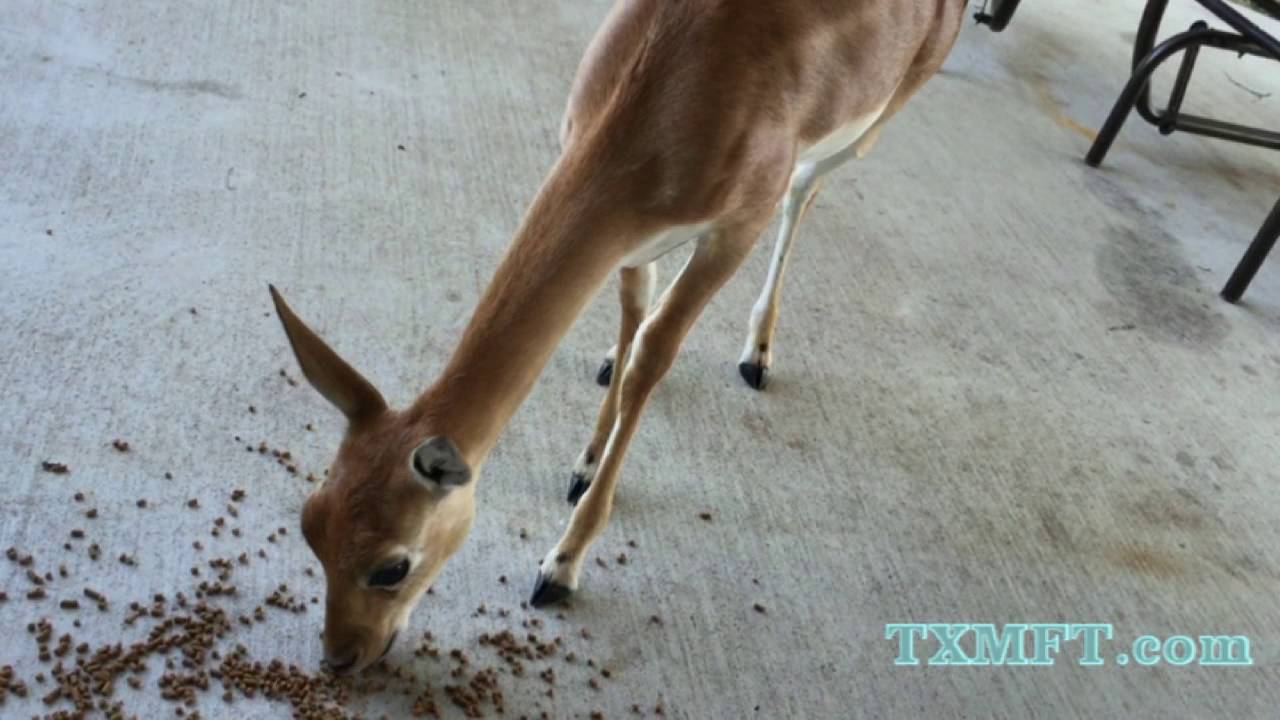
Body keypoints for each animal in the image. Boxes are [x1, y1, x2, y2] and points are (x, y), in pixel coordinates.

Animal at [270, 0, 967, 673]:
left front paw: (560, 564)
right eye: (310, 523)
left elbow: (656, 351)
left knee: (807, 190)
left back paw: (758, 355)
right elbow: (634, 314)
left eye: (392, 565)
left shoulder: (739, 221)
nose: (339, 657)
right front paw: (584, 459)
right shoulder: (631, 233)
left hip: (872, 122)